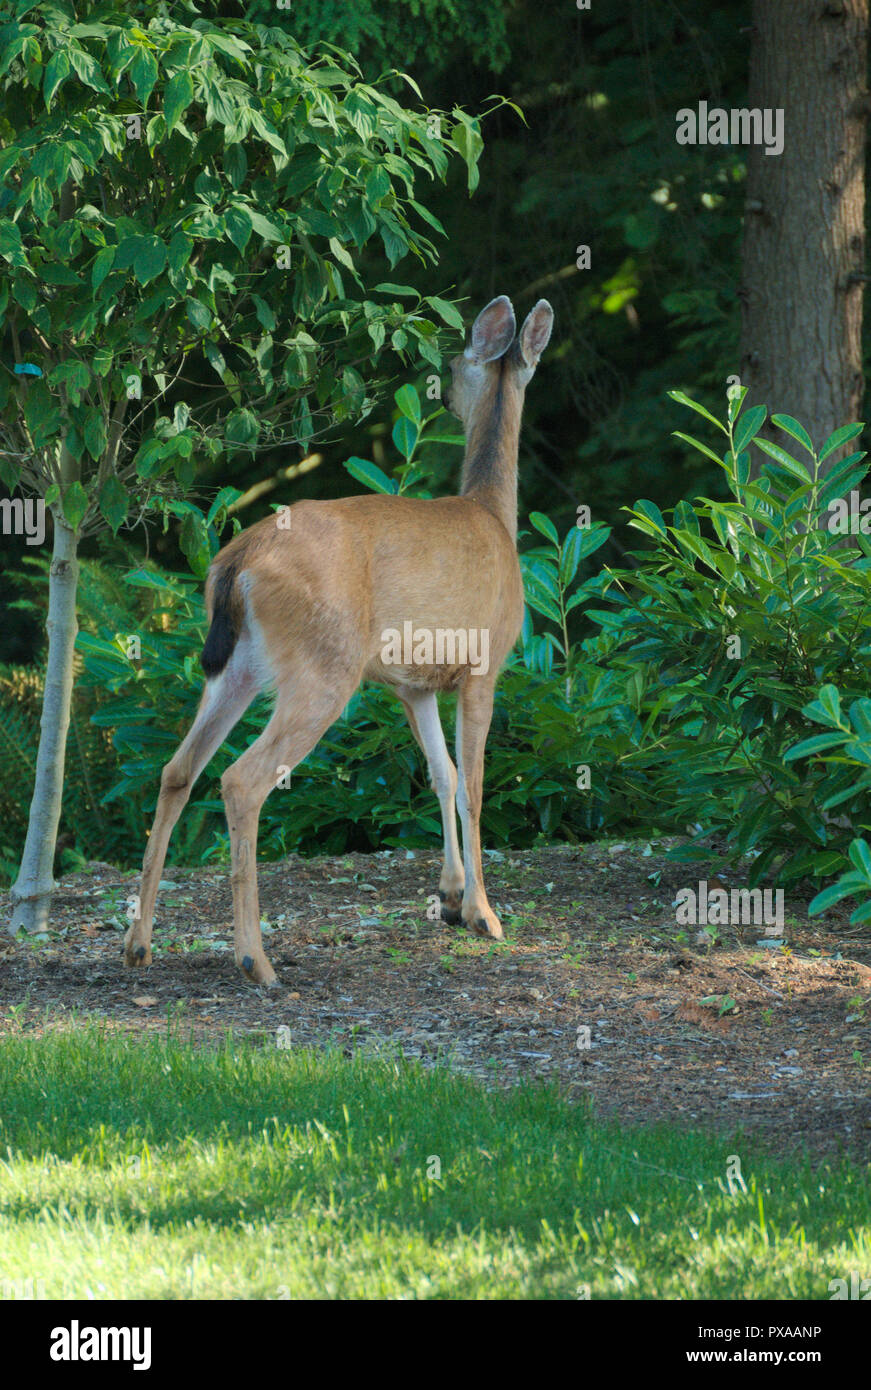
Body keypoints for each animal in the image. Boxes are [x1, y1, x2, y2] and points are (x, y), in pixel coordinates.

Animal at [124, 294, 554, 986]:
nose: (439, 398)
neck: (492, 513)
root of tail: (238, 558)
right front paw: (484, 913)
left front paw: (450, 897)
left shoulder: (414, 684)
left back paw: (139, 944)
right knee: (240, 780)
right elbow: (476, 782)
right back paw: (256, 959)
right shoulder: (483, 664)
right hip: (325, 667)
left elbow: (442, 774)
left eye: (454, 369)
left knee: (177, 769)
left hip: (239, 667)